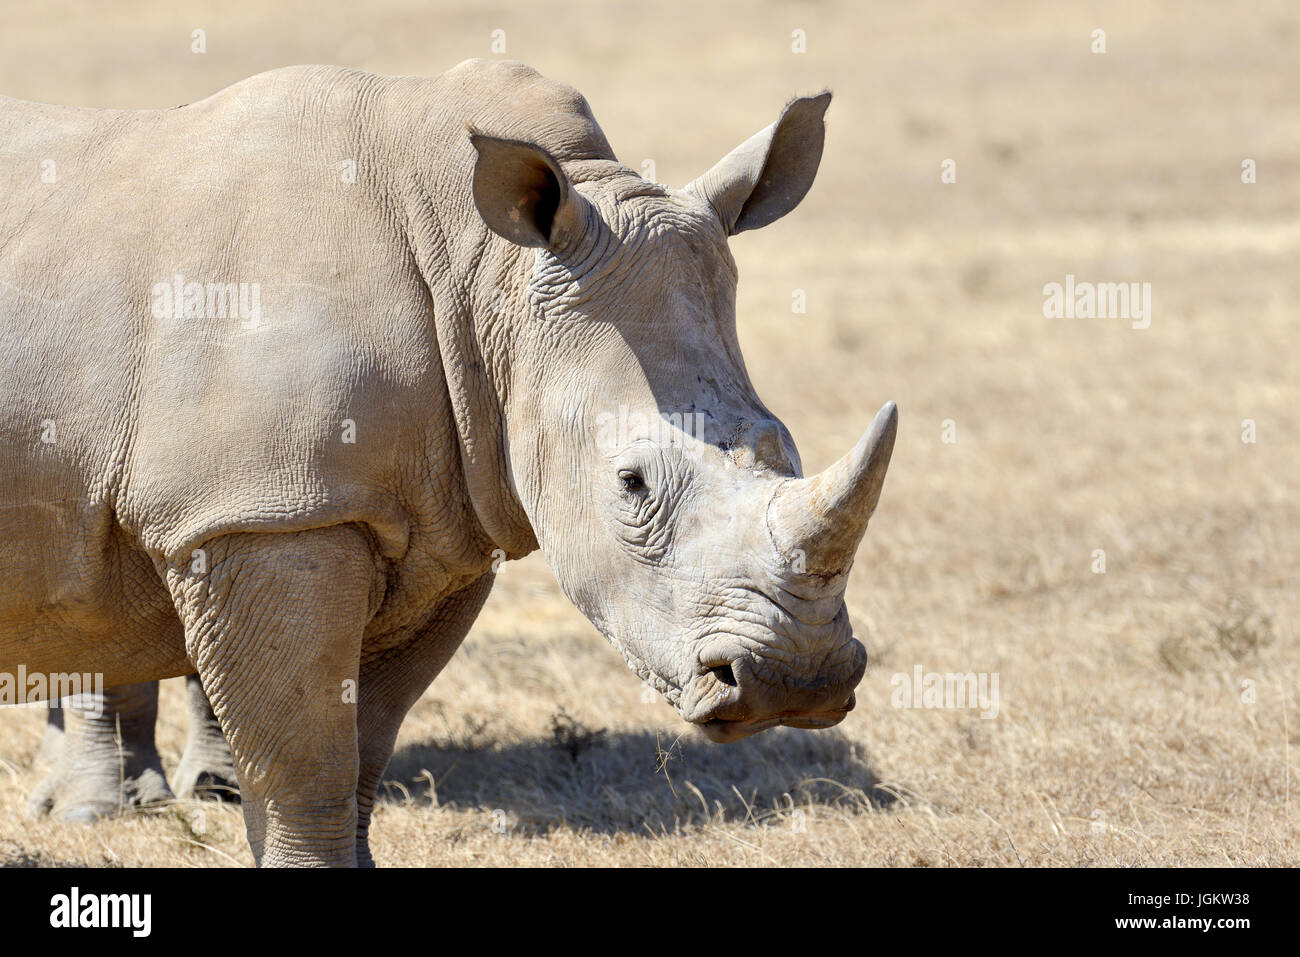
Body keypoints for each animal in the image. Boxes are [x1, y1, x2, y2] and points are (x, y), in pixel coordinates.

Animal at [0, 59, 897, 866]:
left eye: (784, 444)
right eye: (632, 483)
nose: (797, 680)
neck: (486, 275)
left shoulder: (441, 533)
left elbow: (362, 749)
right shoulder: (265, 512)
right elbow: (304, 766)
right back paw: (91, 813)